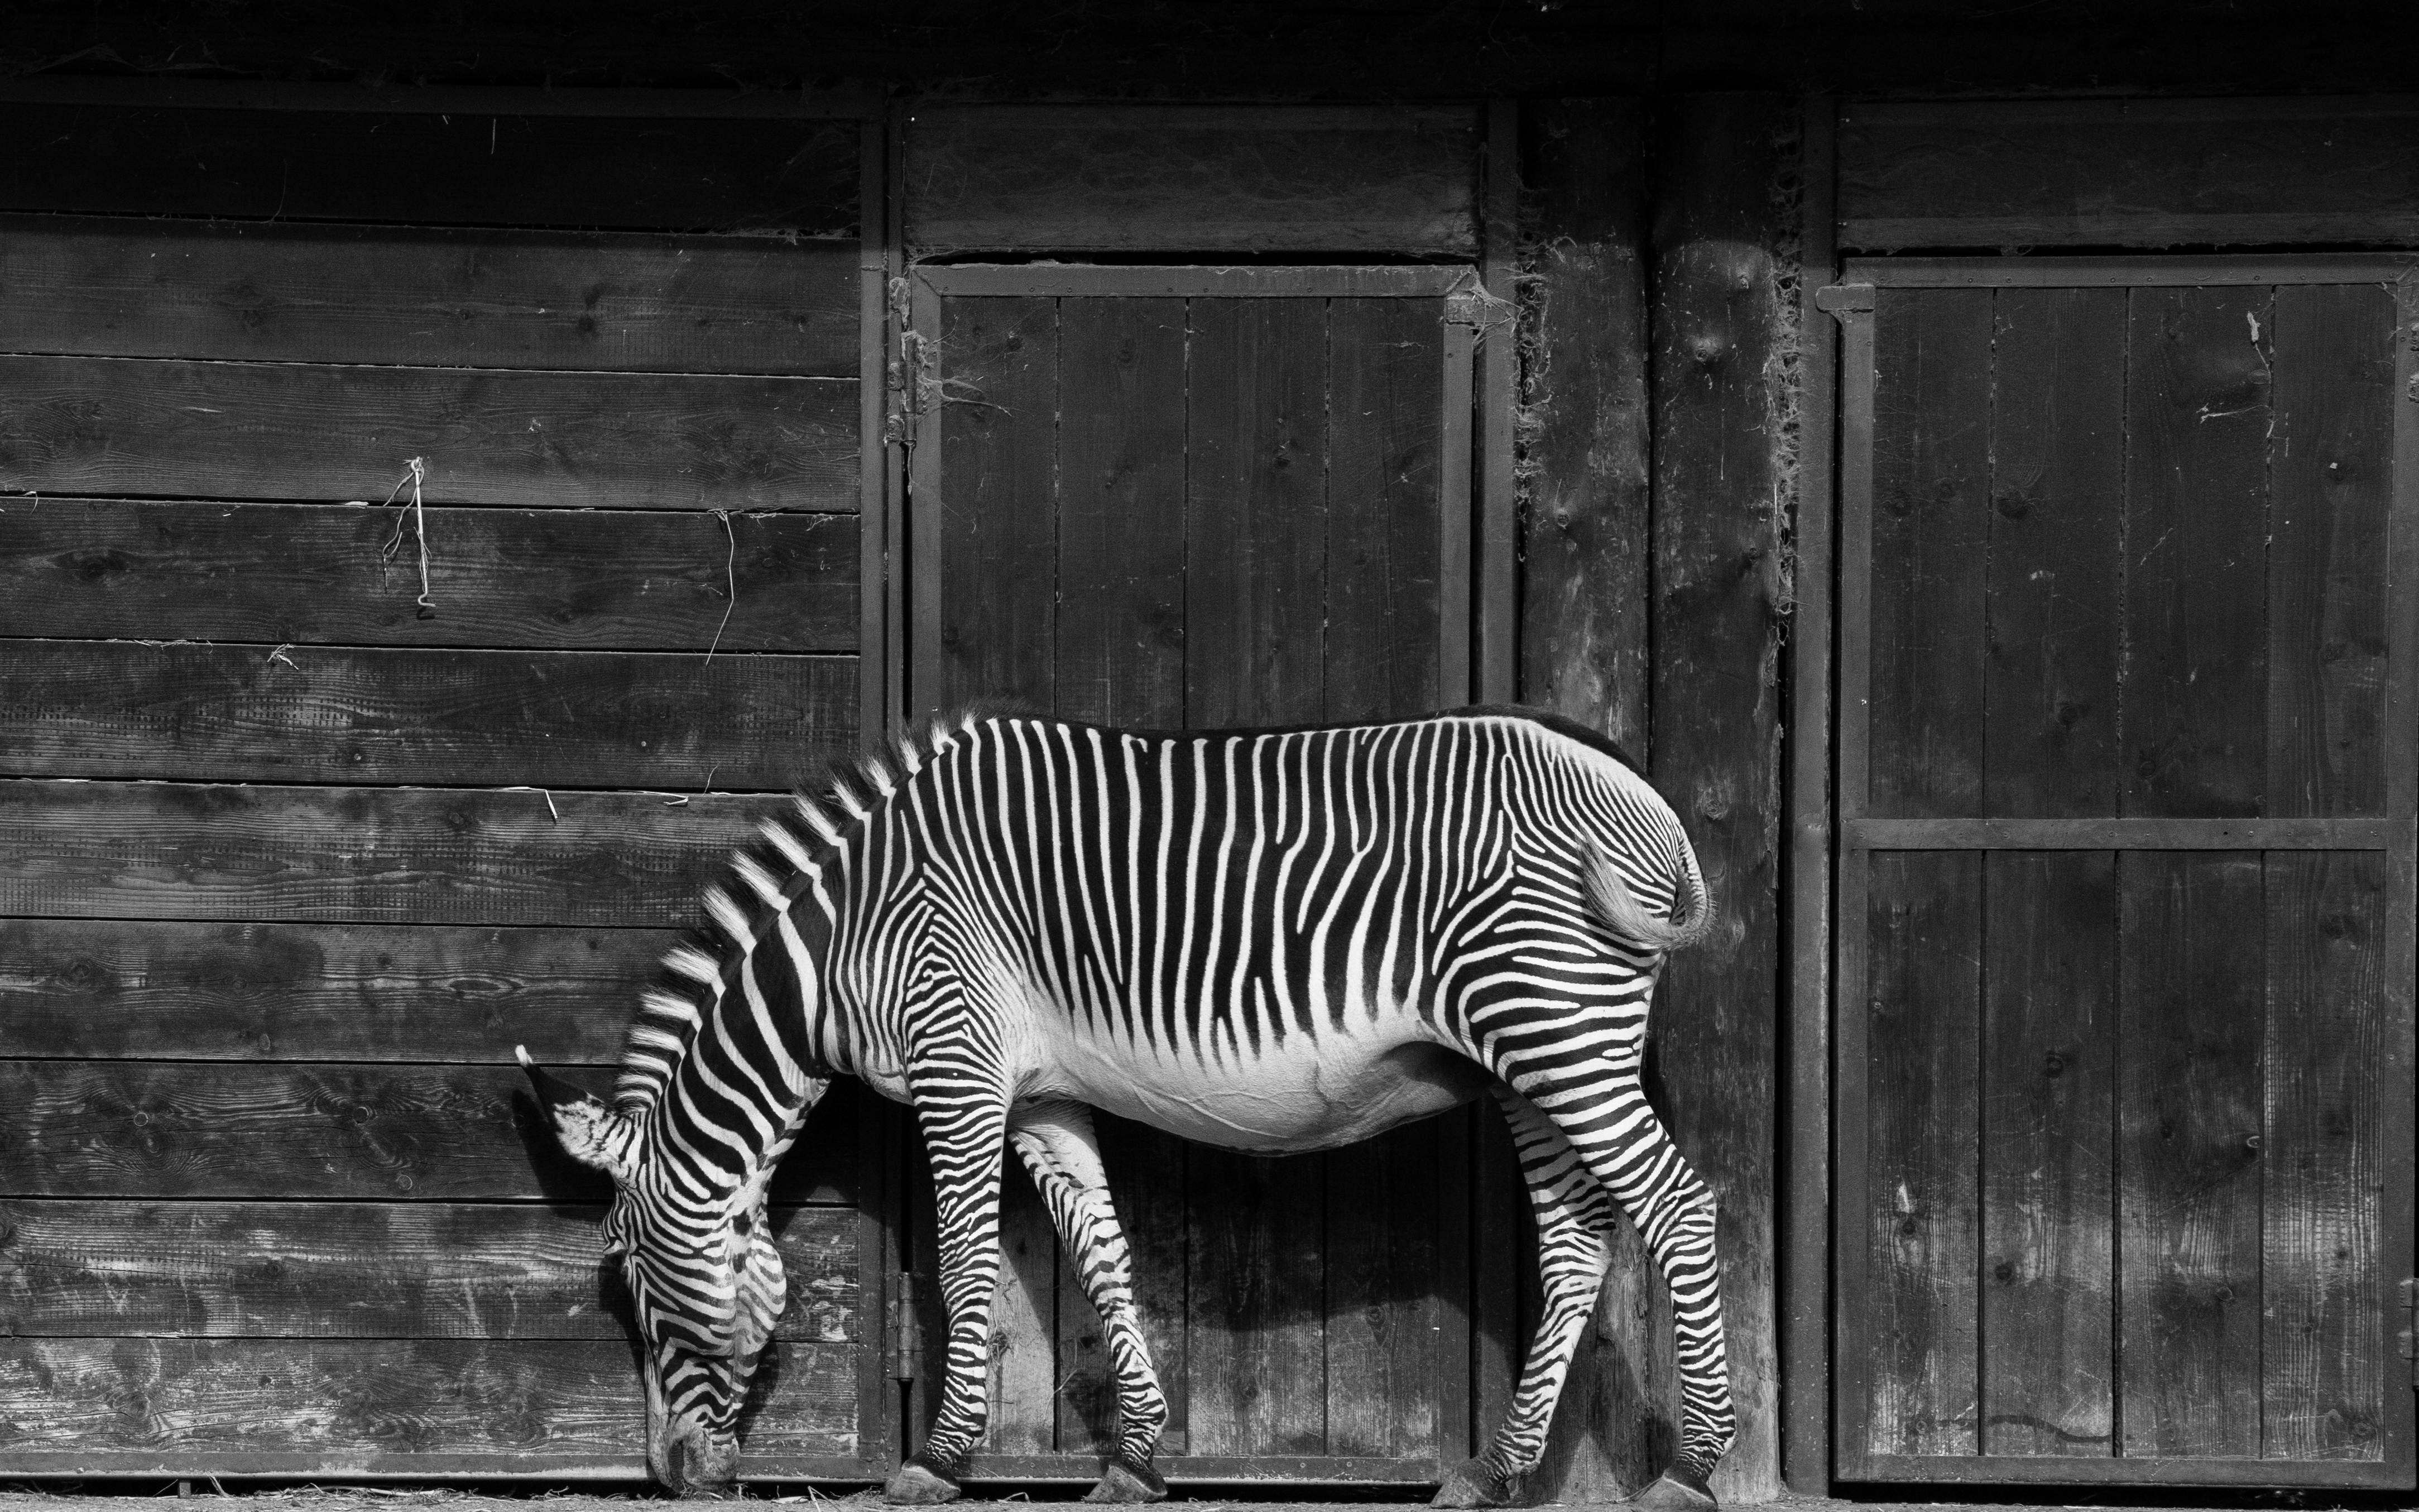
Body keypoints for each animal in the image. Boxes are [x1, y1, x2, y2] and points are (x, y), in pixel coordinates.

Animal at [520, 704, 1732, 1509]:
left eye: (634, 1282)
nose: (671, 1476)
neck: (839, 948)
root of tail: (1637, 786)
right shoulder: (1040, 1097)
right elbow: (1100, 1254)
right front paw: (1137, 1456)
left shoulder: (957, 1062)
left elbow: (964, 1266)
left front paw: (939, 1458)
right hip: (1525, 1059)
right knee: (1577, 1244)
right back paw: (1498, 1466)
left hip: (1553, 1026)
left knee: (1678, 1208)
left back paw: (1691, 1468)